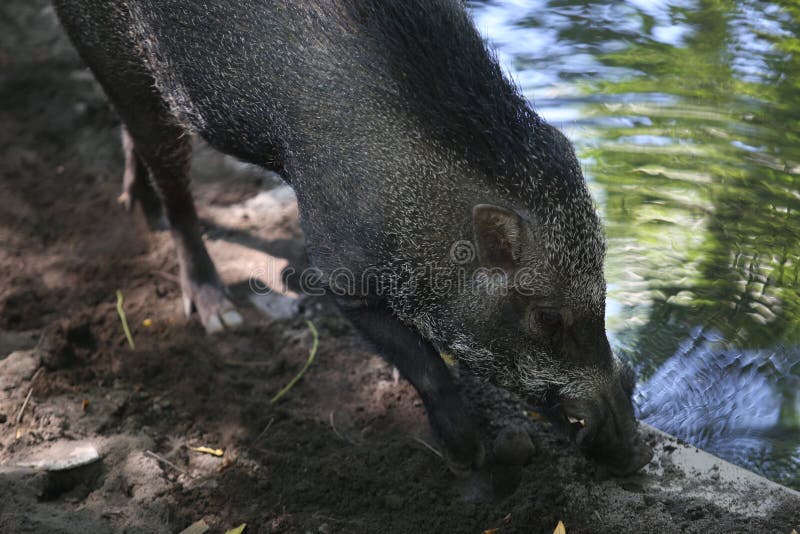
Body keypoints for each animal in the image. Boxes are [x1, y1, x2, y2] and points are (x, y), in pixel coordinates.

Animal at [53, 0, 653, 476]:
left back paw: (137, 207)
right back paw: (217, 313)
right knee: (172, 183)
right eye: (549, 316)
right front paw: (470, 457)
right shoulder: (342, 274)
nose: (638, 454)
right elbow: (427, 369)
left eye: (604, 299)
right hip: (121, 60)